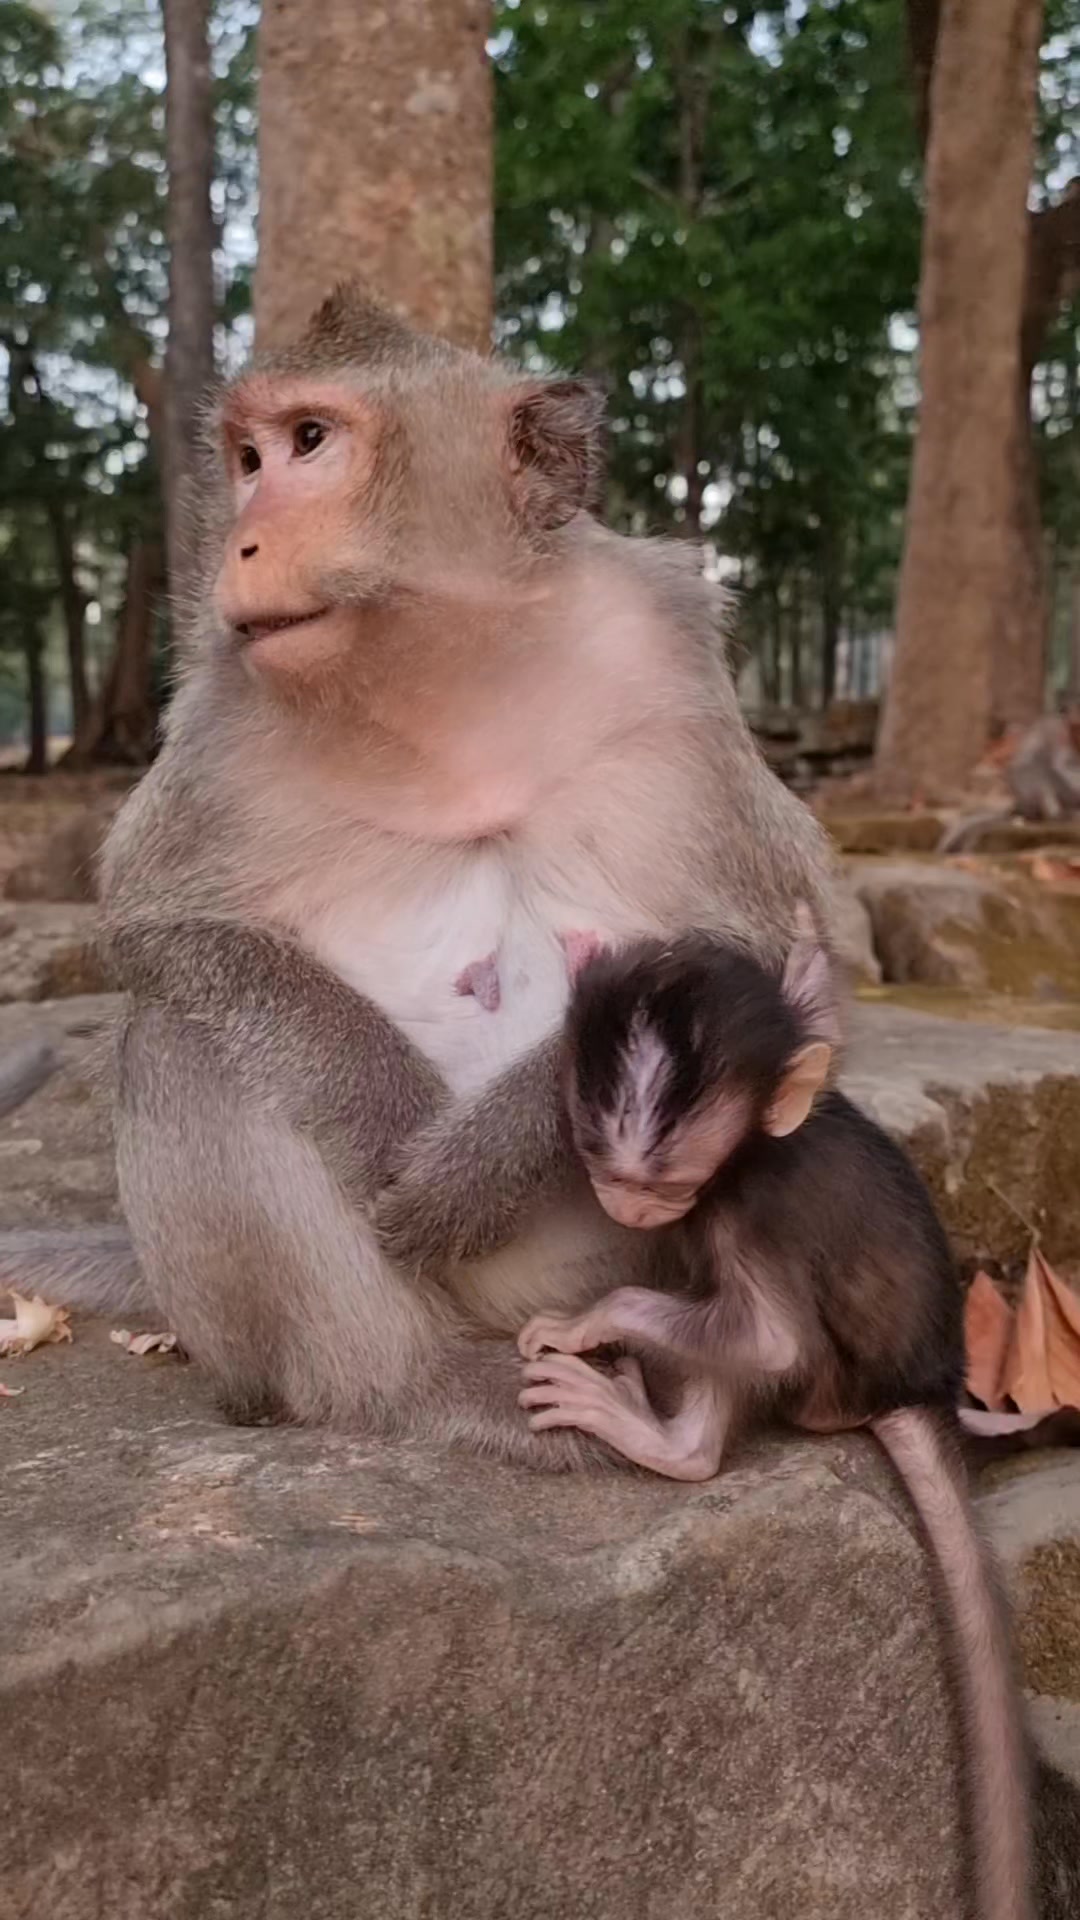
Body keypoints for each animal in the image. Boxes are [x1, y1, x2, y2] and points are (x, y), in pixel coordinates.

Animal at [518, 921, 1033, 1920]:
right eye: (597, 1154)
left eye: (667, 1178)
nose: (627, 1205)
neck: (754, 1146)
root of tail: (913, 1384)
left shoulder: (749, 1205)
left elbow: (766, 1344)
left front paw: (591, 1320)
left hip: (829, 1387)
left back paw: (670, 1444)